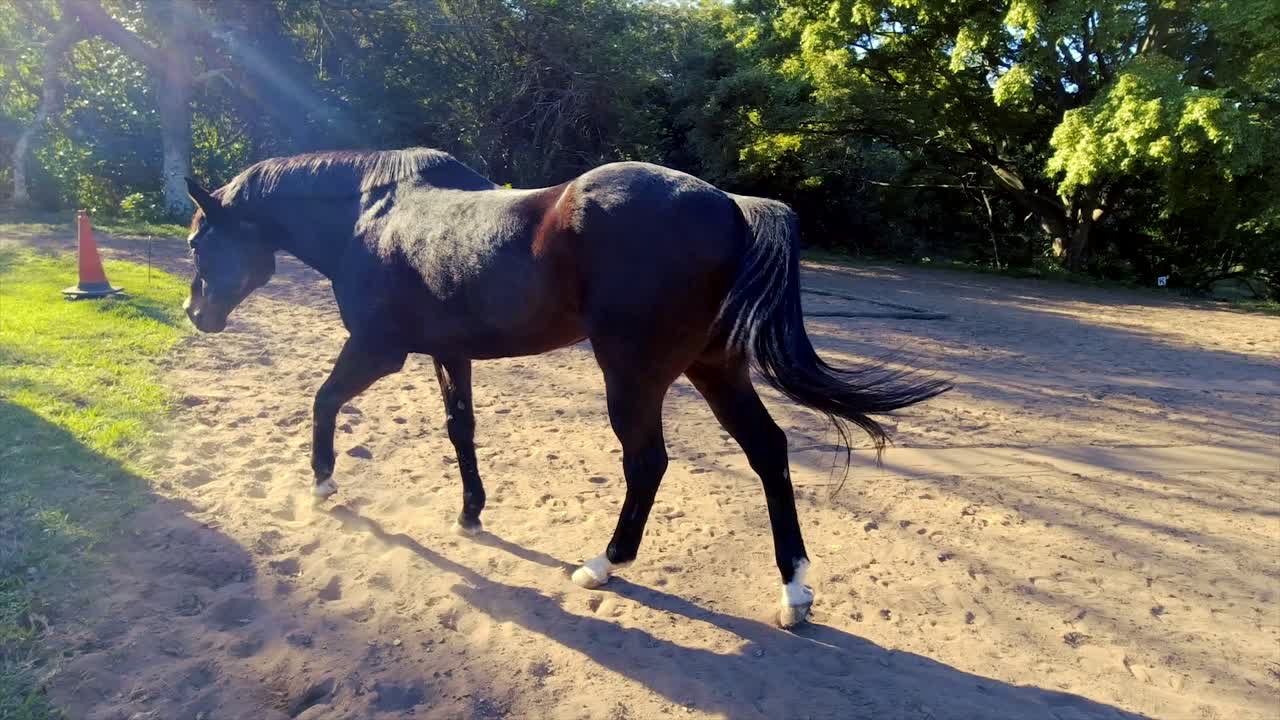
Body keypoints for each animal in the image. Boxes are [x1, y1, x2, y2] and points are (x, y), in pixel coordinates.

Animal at [181, 148, 948, 627]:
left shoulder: (379, 350)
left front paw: (321, 485)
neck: (371, 217)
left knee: (648, 462)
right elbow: (461, 429)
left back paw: (604, 565)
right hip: (714, 368)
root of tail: (732, 206)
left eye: (195, 241)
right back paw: (793, 591)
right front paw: (470, 512)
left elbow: (322, 399)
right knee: (768, 452)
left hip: (633, 374)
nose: (196, 314)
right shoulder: (449, 354)